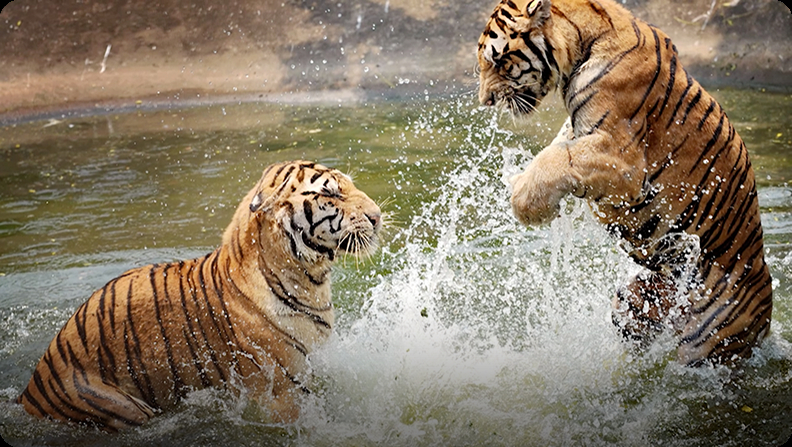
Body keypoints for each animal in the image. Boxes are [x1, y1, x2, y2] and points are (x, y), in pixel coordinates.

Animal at [16, 160, 382, 430]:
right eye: (331, 195)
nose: (377, 216)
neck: (309, 280)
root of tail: (29, 390)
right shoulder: (282, 393)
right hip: (118, 405)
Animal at [477, 0, 772, 366]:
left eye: (499, 61)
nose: (485, 101)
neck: (583, 43)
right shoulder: (580, 131)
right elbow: (557, 148)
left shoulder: (623, 161)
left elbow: (559, 158)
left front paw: (527, 204)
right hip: (634, 303)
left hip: (708, 344)